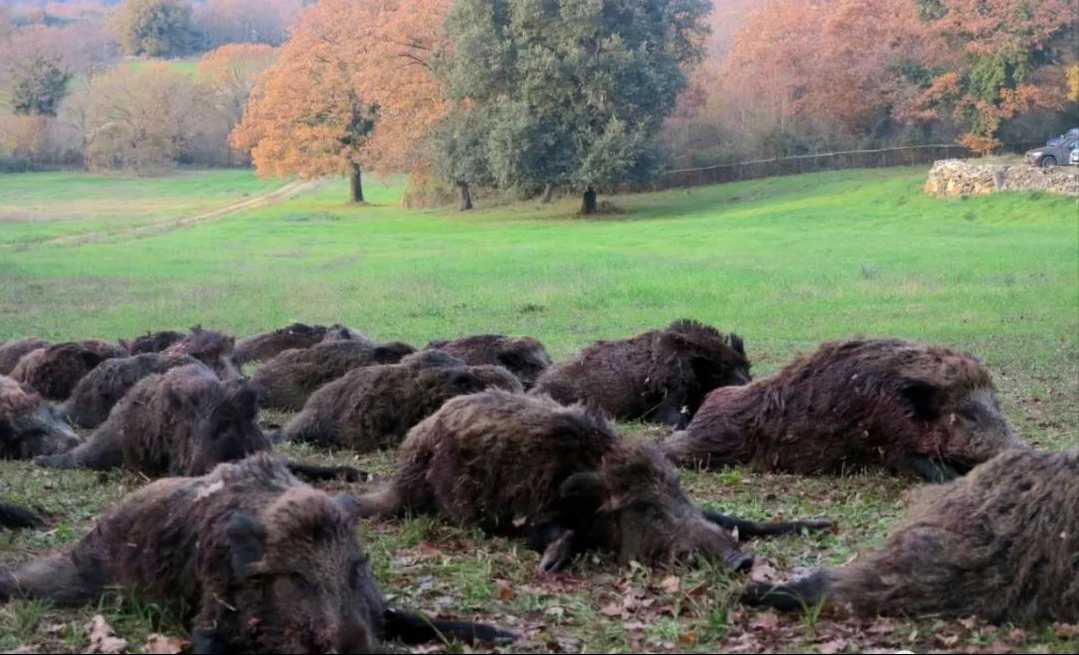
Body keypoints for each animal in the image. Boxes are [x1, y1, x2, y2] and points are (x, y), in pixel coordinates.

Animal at [1, 454, 516, 652]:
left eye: (356, 569)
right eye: (298, 579)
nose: (354, 646)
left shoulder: (376, 607)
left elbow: (413, 618)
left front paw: (505, 635)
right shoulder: (211, 615)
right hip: (79, 575)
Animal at [356, 390, 829, 573]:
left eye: (678, 495)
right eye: (644, 508)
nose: (742, 561)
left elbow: (735, 518)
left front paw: (822, 524)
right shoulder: (527, 515)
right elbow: (555, 533)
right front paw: (549, 566)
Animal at [661, 338, 1024, 482]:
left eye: (997, 404)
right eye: (968, 414)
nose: (1024, 451)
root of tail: (708, 402)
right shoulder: (892, 442)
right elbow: (928, 467)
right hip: (711, 444)